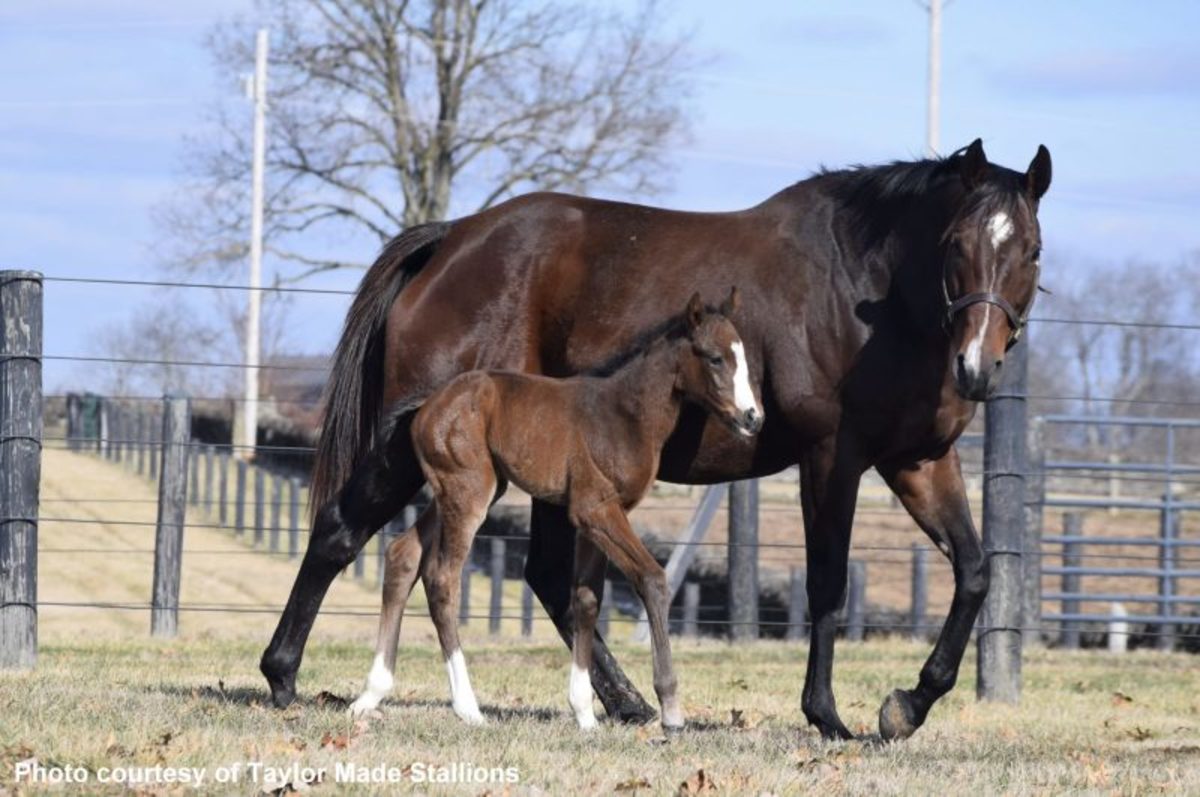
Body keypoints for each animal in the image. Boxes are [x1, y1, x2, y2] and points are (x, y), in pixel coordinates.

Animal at [345, 289, 762, 730]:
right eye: (714, 358)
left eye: (742, 355)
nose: (753, 418)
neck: (624, 416)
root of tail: (428, 405)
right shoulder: (595, 509)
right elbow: (652, 579)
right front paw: (670, 708)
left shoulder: (597, 519)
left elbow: (587, 599)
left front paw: (584, 714)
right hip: (468, 491)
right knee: (442, 576)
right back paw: (468, 707)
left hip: (464, 490)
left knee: (403, 554)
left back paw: (371, 694)